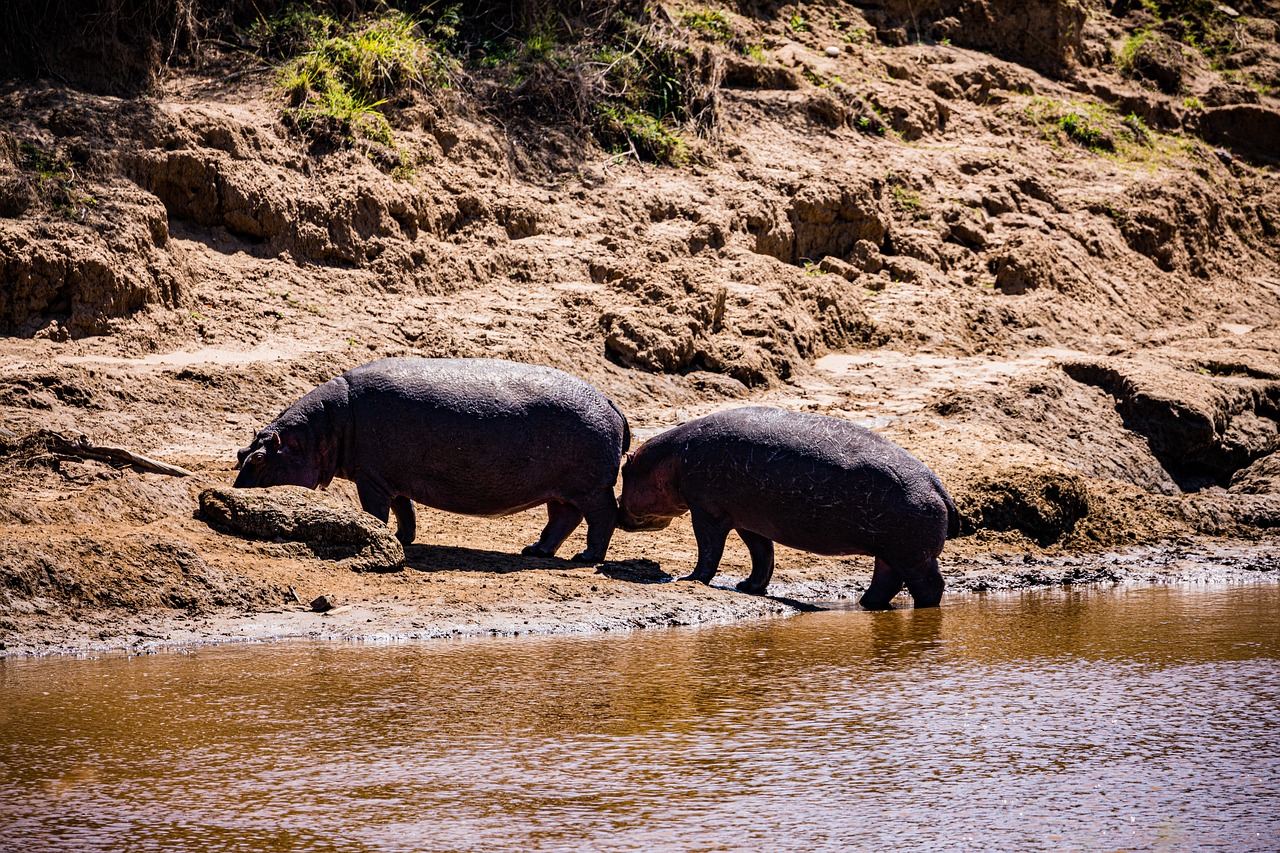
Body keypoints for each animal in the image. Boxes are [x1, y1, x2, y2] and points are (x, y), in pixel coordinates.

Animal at [234, 358, 630, 562]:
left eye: (259, 458)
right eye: (240, 453)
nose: (234, 491)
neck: (321, 430)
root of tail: (612, 403)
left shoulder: (371, 477)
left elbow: (376, 510)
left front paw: (381, 533)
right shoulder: (389, 476)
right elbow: (404, 509)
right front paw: (401, 538)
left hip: (591, 487)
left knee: (601, 518)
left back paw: (586, 558)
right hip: (562, 489)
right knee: (563, 519)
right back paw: (535, 551)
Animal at [618, 407, 958, 608]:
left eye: (624, 472)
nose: (617, 507)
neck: (669, 459)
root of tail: (936, 484)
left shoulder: (707, 512)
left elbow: (710, 551)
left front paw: (689, 580)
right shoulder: (746, 520)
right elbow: (762, 555)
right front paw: (748, 586)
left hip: (912, 557)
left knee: (929, 585)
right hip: (891, 553)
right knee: (886, 581)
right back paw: (866, 604)